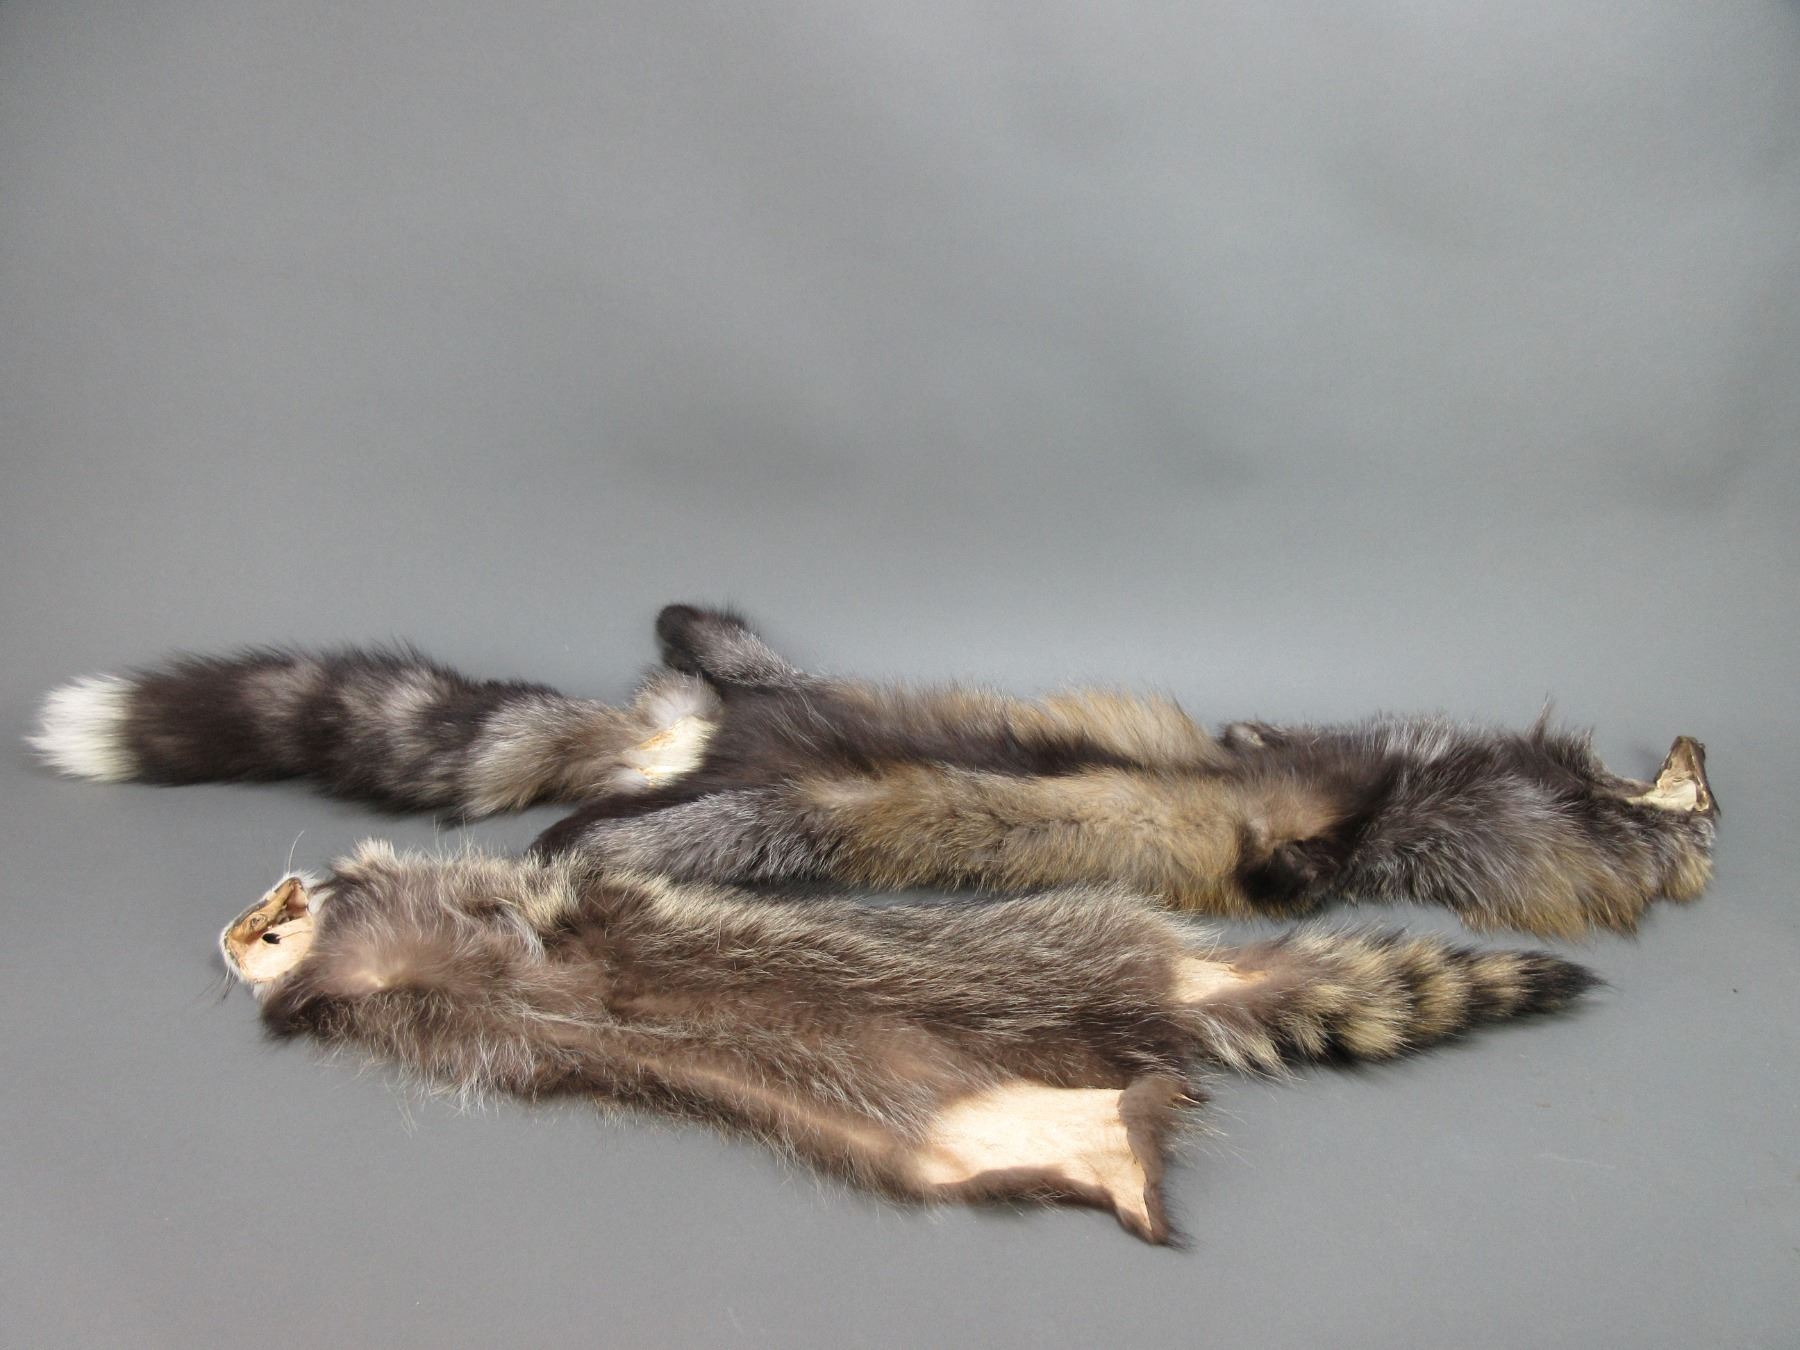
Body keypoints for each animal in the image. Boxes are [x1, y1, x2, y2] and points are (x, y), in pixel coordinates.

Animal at [214, 841, 1595, 1244]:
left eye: (280, 901)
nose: (235, 933)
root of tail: (1159, 996)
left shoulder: (487, 899)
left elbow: (544, 902)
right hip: (940, 1109)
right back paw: (1118, 1145)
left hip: (1025, 950)